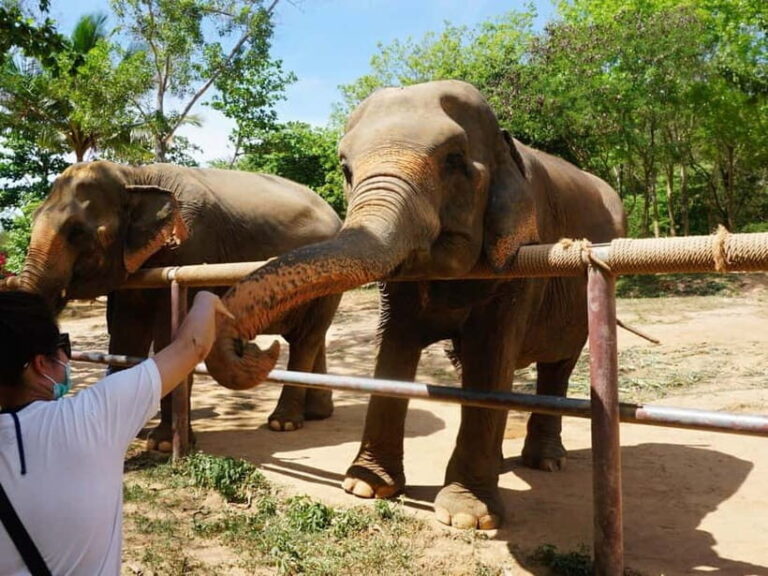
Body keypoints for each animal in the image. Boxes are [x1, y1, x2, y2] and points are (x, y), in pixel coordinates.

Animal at [14, 160, 343, 449]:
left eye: (77, 232)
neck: (133, 176)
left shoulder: (192, 244)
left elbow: (169, 334)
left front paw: (160, 444)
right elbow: (126, 334)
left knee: (307, 338)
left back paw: (282, 423)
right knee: (311, 337)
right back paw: (316, 414)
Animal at [204, 80, 626, 529]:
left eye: (454, 161)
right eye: (346, 170)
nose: (255, 345)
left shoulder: (521, 260)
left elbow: (491, 356)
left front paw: (466, 518)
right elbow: (395, 347)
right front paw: (365, 486)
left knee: (557, 365)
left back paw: (545, 462)